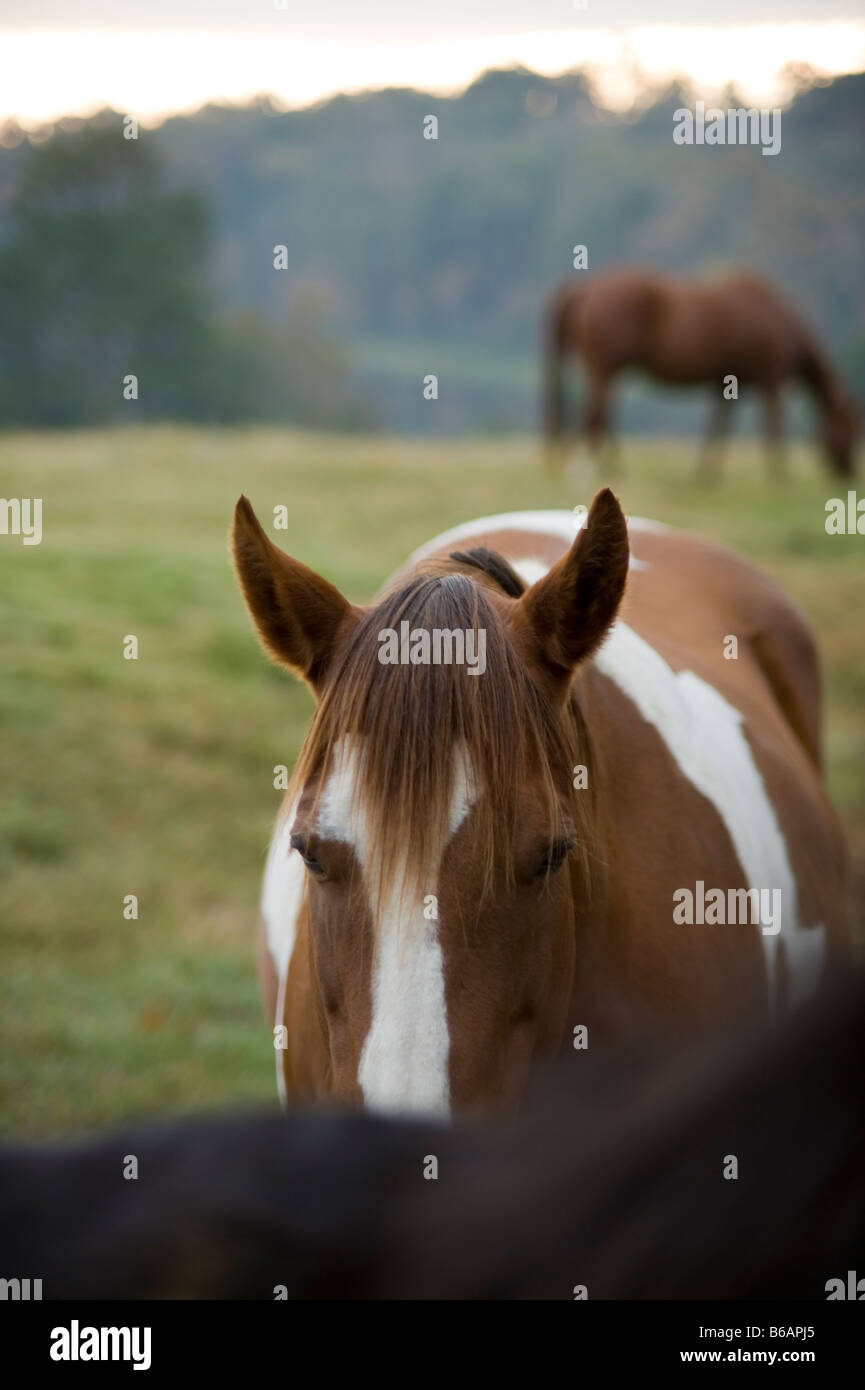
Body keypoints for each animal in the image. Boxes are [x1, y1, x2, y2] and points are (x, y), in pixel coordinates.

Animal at [544, 269, 859, 480]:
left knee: (601, 414)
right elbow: (773, 426)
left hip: (605, 371)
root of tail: (586, 286)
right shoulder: (770, 380)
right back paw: (586, 468)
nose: (850, 473)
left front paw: (706, 472)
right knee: (594, 415)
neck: (779, 319)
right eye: (850, 426)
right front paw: (779, 474)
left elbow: (718, 425)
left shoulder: (727, 381)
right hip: (606, 369)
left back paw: (612, 466)